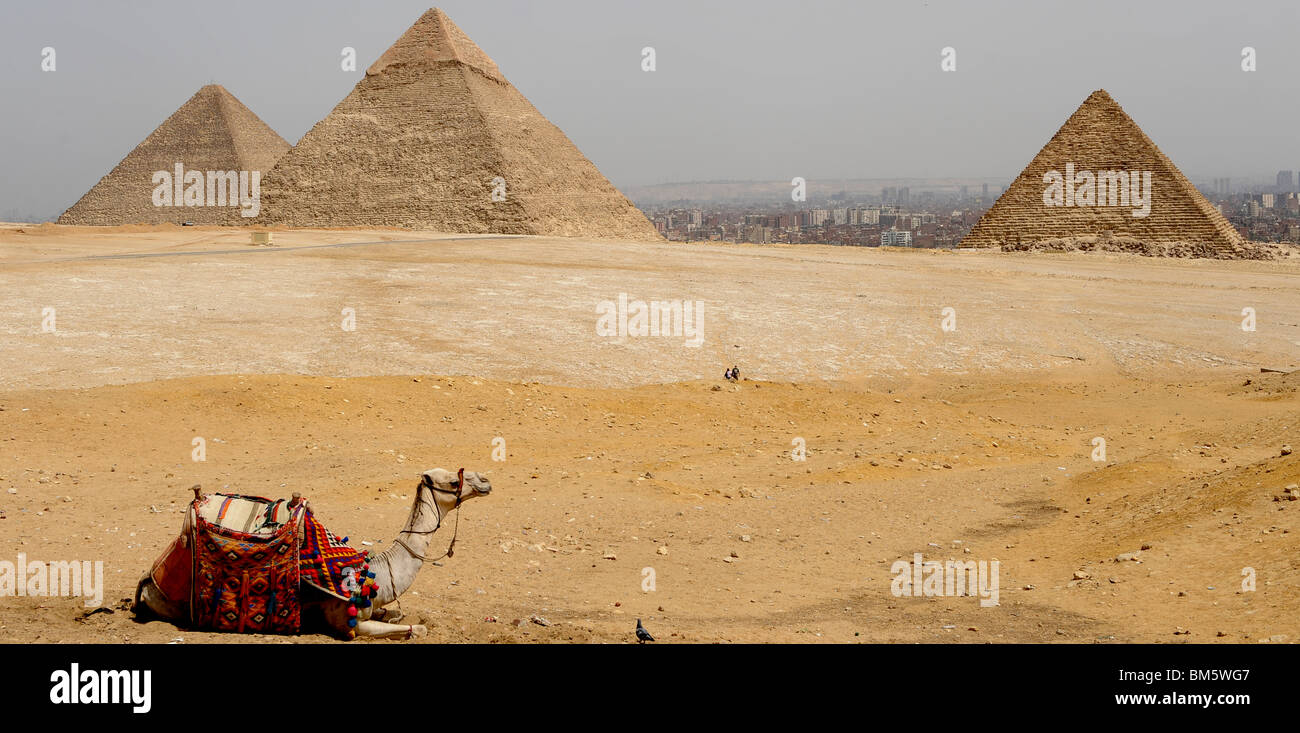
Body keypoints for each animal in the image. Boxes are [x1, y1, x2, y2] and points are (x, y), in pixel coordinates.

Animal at [133, 468, 491, 640]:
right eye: (452, 481)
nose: (486, 481)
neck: (373, 574)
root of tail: (149, 579)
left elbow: (394, 616)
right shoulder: (347, 623)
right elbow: (415, 629)